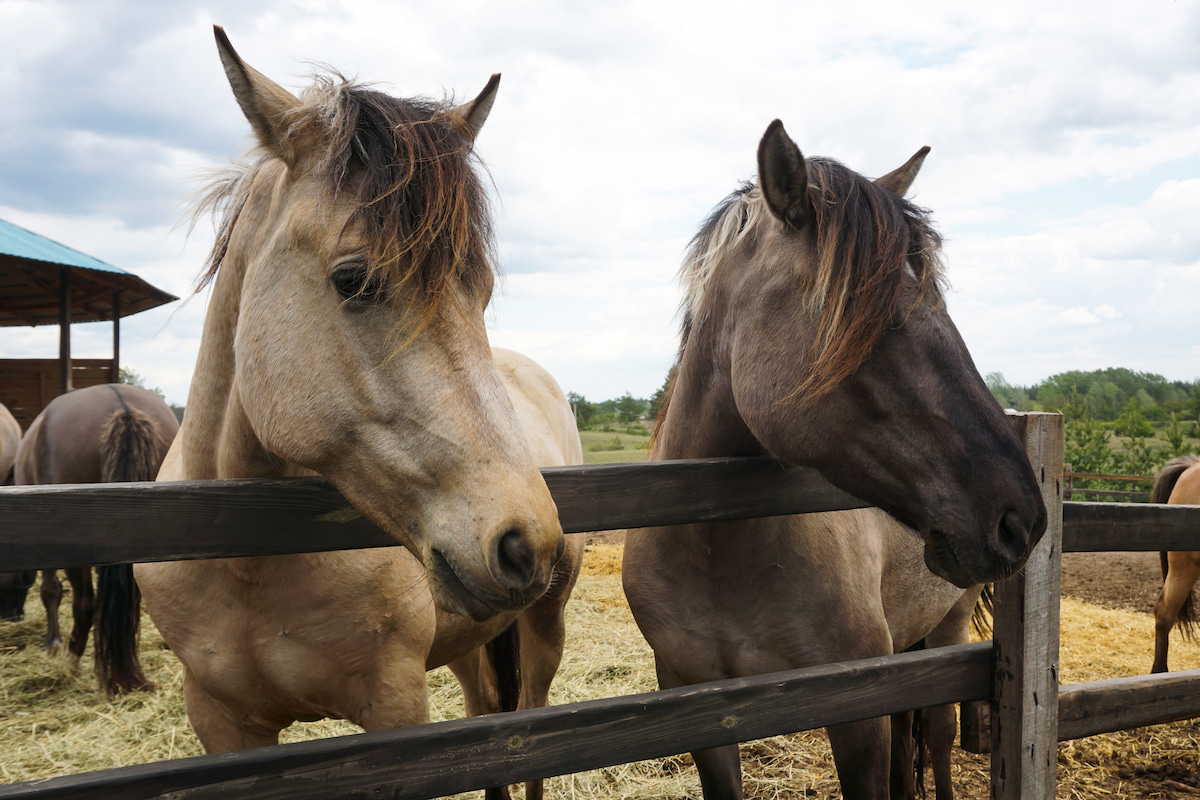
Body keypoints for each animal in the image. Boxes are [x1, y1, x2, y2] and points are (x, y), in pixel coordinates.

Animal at [12, 383, 178, 696]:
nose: (12, 616)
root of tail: (123, 407)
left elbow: (51, 590)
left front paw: (53, 643)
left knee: (85, 603)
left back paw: (71, 661)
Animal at [135, 29, 580, 800]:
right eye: (354, 280)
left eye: (483, 290)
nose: (525, 543)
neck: (248, 565)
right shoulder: (220, 723)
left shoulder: (393, 708)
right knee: (488, 715)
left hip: (543, 627)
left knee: (531, 726)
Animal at [622, 120, 1047, 800]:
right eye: (867, 313)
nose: (1020, 519)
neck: (718, 549)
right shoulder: (700, 710)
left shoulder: (855, 717)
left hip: (947, 627)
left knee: (936, 733)